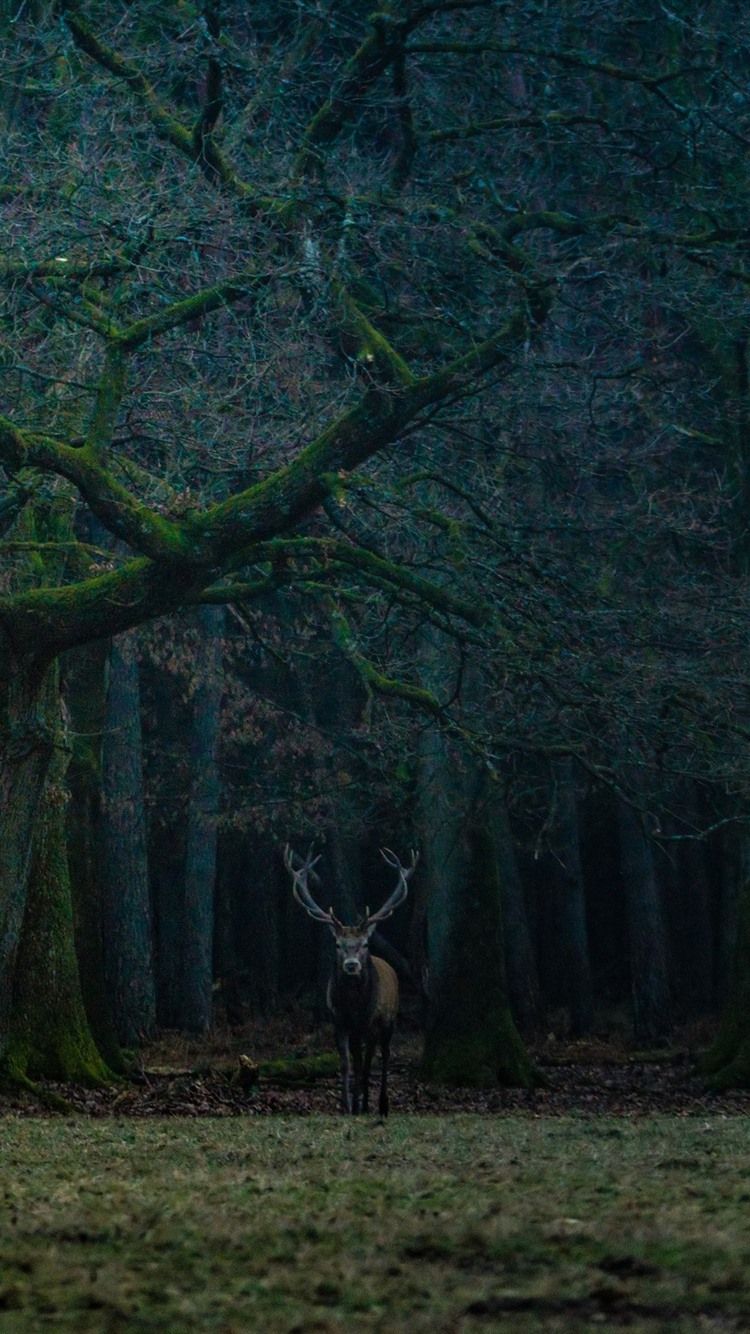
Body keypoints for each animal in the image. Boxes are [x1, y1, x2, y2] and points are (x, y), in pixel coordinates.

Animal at [284, 844, 418, 1116]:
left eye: (364, 943)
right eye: (338, 943)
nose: (352, 965)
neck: (352, 1005)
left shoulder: (366, 1021)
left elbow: (361, 1063)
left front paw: (356, 1105)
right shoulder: (339, 1020)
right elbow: (346, 1063)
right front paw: (346, 1105)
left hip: (388, 1020)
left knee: (383, 1057)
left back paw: (381, 1105)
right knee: (368, 1059)